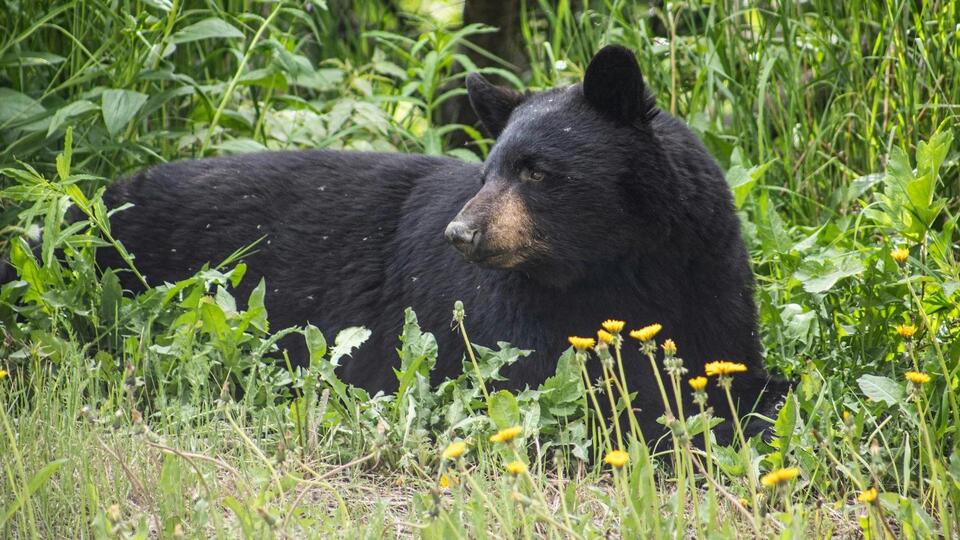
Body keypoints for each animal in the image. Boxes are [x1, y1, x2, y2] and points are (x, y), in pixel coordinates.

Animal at [93, 45, 786, 441]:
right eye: (488, 172)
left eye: (536, 171)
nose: (460, 232)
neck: (618, 267)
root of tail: (106, 194)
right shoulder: (504, 321)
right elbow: (567, 390)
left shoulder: (707, 273)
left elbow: (734, 366)